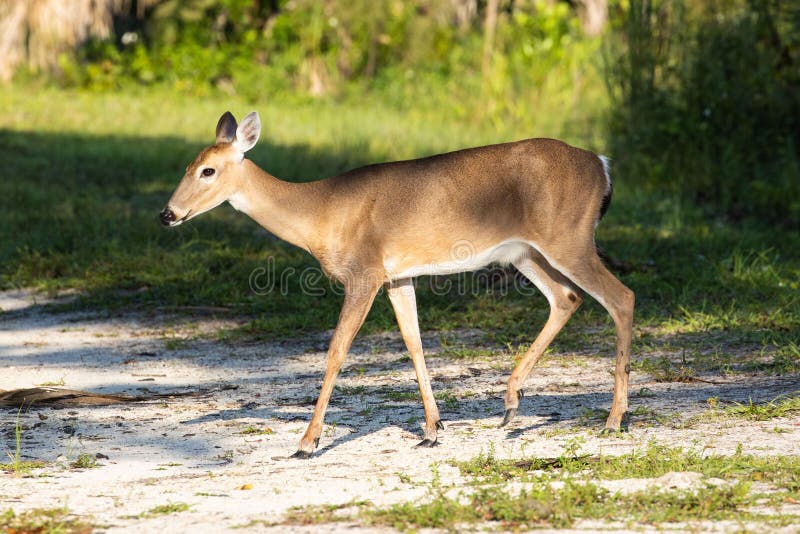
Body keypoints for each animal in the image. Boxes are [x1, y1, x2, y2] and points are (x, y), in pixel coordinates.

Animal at [160, 111, 634, 459]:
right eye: (186, 166)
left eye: (208, 170)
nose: (167, 214)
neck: (321, 213)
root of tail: (603, 165)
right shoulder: (398, 276)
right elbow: (414, 343)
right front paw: (432, 429)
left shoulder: (364, 272)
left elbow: (336, 350)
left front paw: (308, 441)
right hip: (525, 252)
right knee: (567, 298)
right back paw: (512, 402)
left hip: (567, 237)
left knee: (621, 297)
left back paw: (613, 420)